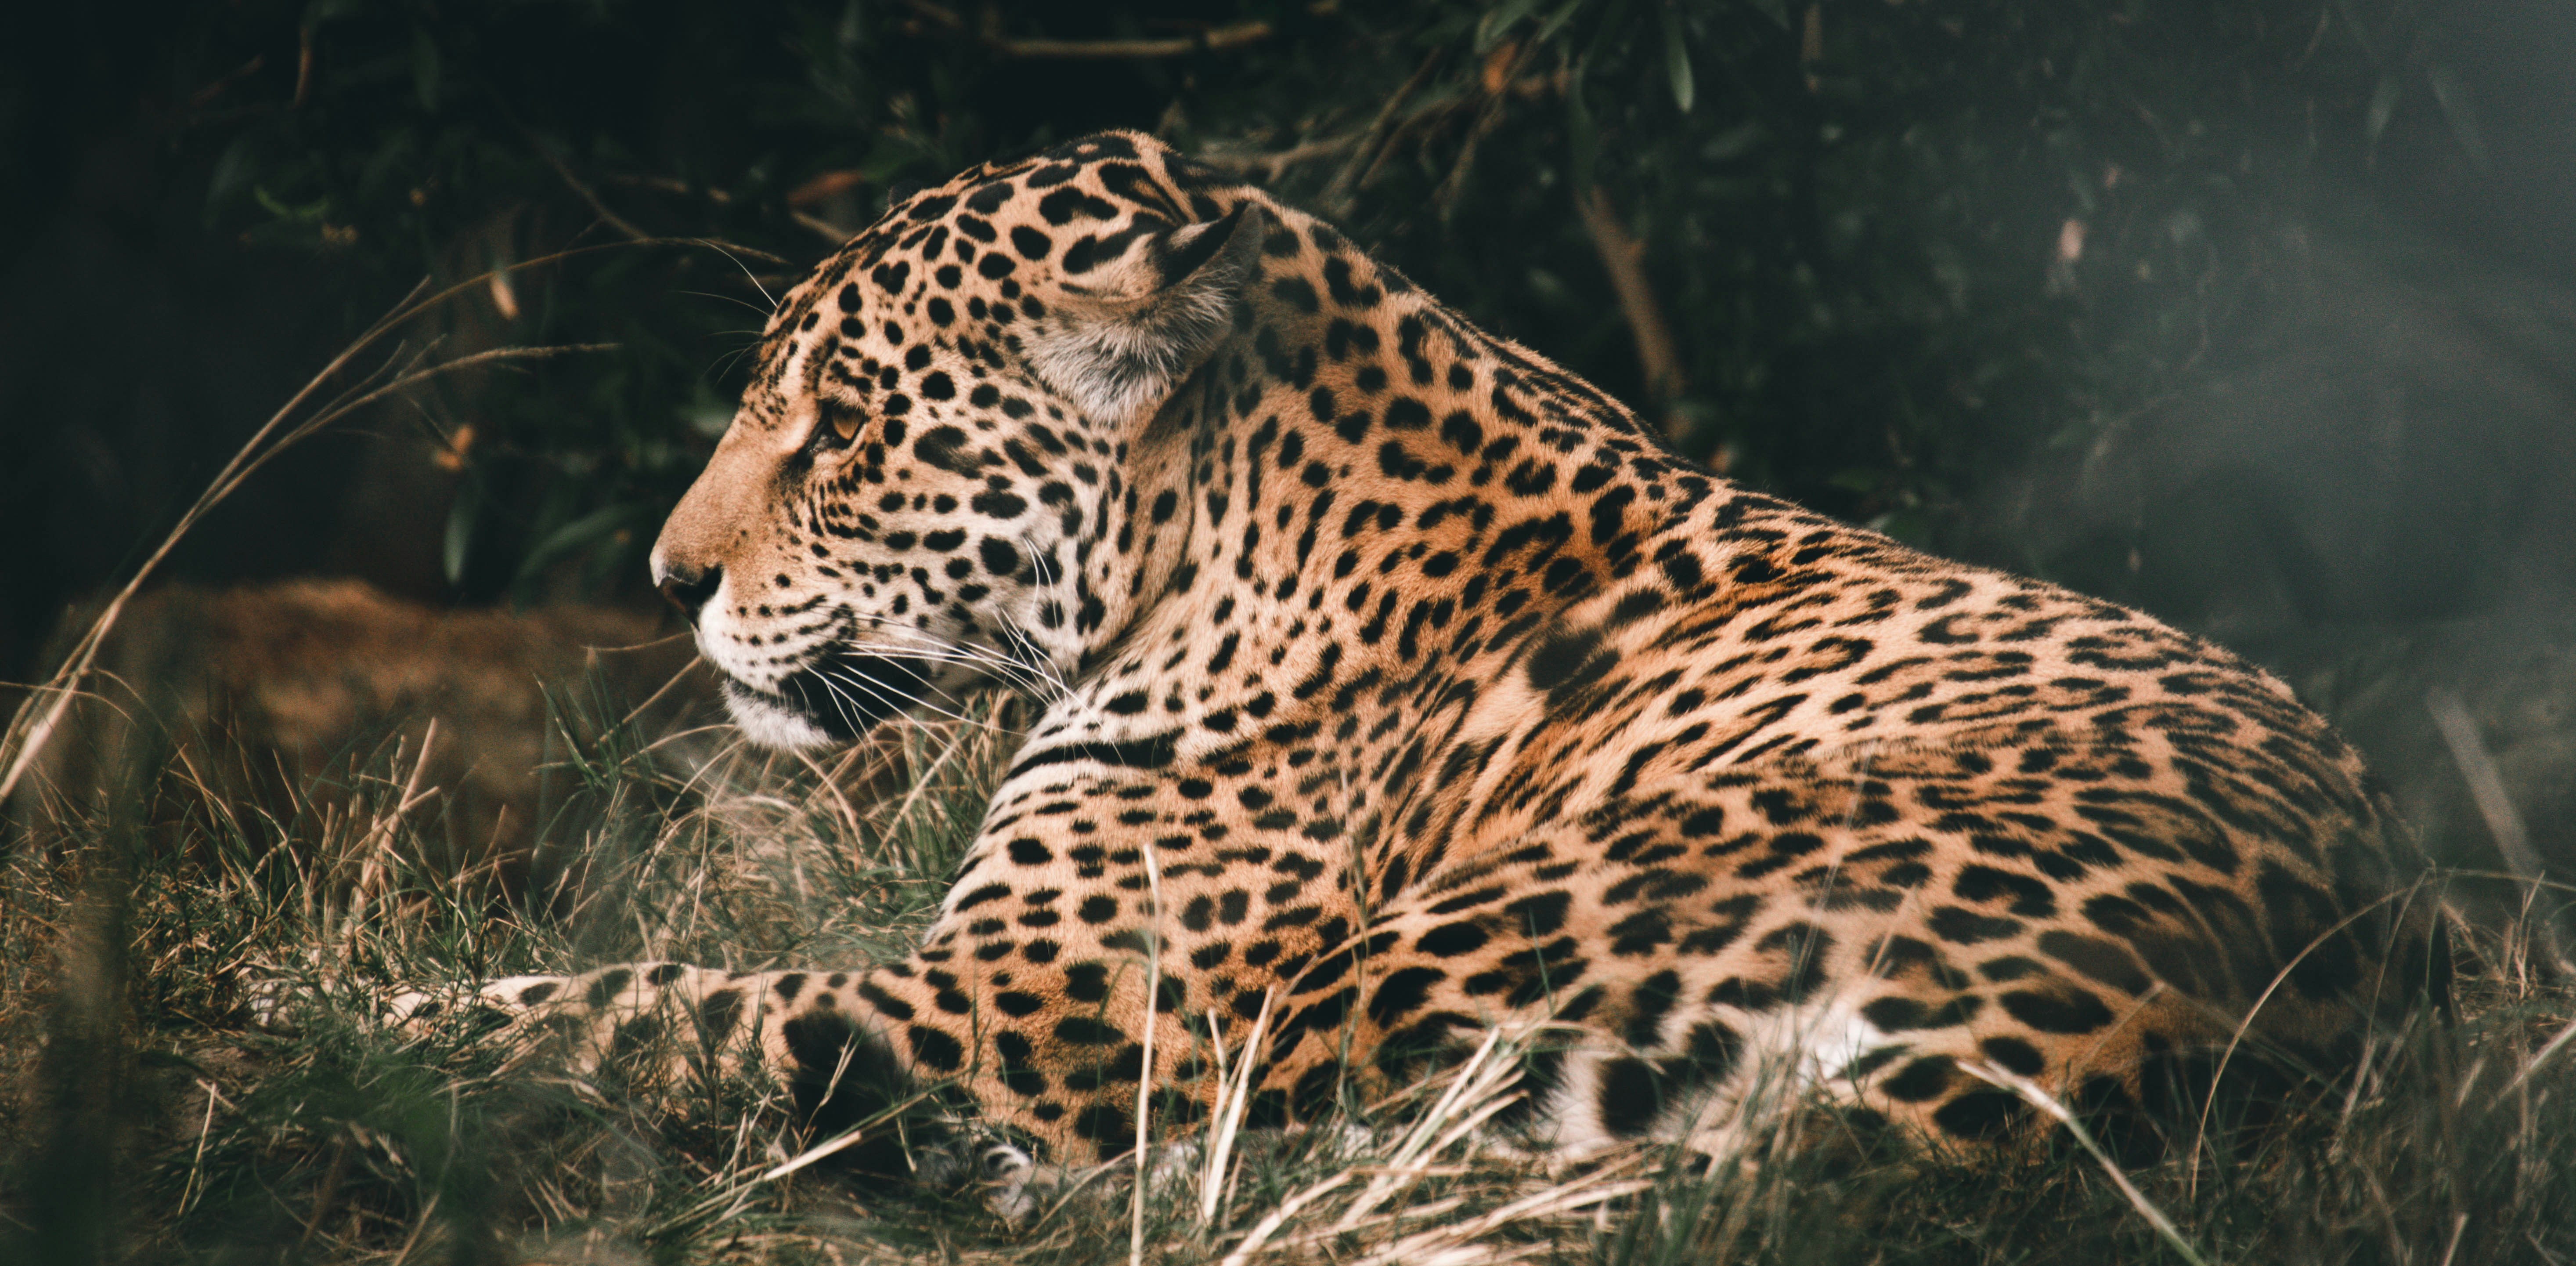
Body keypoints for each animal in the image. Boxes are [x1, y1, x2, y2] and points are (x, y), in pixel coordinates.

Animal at [445, 130, 2443, 1183]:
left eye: (847, 426)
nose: (665, 579)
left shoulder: (1037, 1002)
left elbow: (654, 995)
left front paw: (381, 1033)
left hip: (1455, 940)